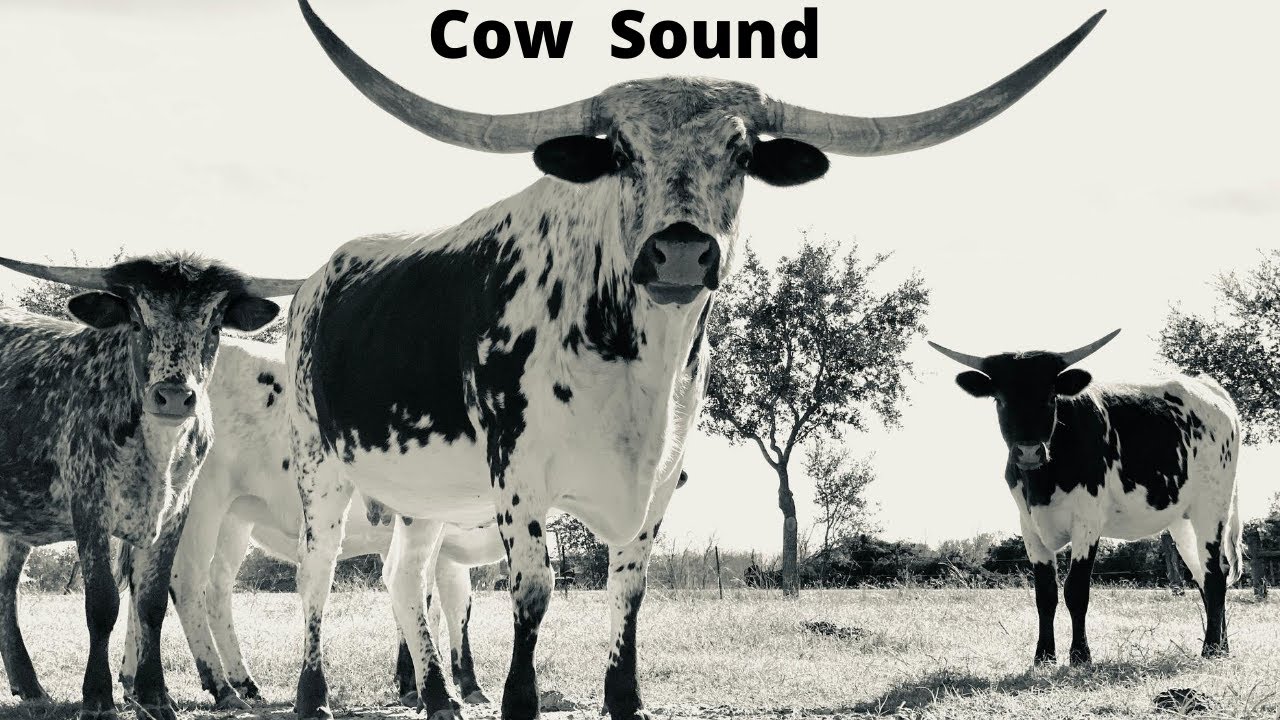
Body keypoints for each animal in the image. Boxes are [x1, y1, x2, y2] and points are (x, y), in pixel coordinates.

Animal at [0, 254, 300, 720]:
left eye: (214, 325)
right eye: (138, 322)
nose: (174, 396)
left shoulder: (175, 512)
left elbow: (152, 602)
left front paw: (156, 695)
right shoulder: (89, 506)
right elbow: (102, 603)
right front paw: (98, 698)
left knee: (5, 587)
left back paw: (30, 687)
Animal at [288, 3, 1105, 719]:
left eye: (742, 154)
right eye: (620, 152)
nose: (680, 250)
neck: (633, 364)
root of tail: (316, 278)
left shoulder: (661, 478)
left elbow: (628, 592)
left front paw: (626, 701)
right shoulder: (517, 476)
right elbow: (533, 590)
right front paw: (518, 702)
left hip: (421, 495)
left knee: (404, 580)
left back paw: (438, 699)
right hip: (320, 470)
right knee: (317, 575)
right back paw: (313, 695)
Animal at [929, 330, 1244, 665]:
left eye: (1050, 397)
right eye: (1000, 399)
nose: (1029, 452)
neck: (1043, 480)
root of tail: (1210, 390)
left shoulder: (1087, 522)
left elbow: (1075, 590)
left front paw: (1080, 654)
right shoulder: (1029, 526)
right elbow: (1045, 593)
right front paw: (1044, 655)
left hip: (1211, 508)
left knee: (1215, 574)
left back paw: (1211, 648)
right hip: (1181, 520)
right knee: (1203, 575)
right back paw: (1223, 645)